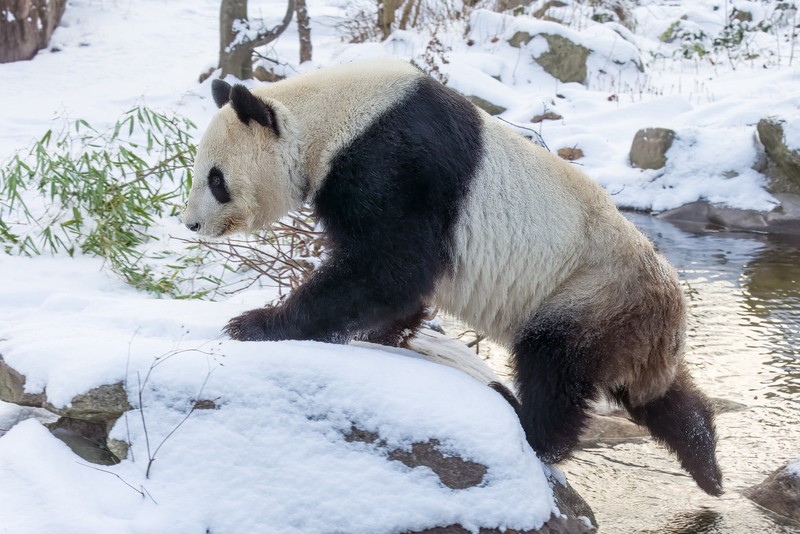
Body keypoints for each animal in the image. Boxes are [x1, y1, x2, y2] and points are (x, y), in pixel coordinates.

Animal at [182, 57, 723, 495]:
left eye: (215, 178)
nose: (191, 224)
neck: (325, 118)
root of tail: (669, 314)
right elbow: (400, 278)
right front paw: (385, 335)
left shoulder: (391, 158)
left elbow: (390, 264)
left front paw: (255, 323)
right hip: (625, 321)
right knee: (659, 398)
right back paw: (708, 464)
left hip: (588, 291)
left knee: (555, 367)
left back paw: (529, 427)